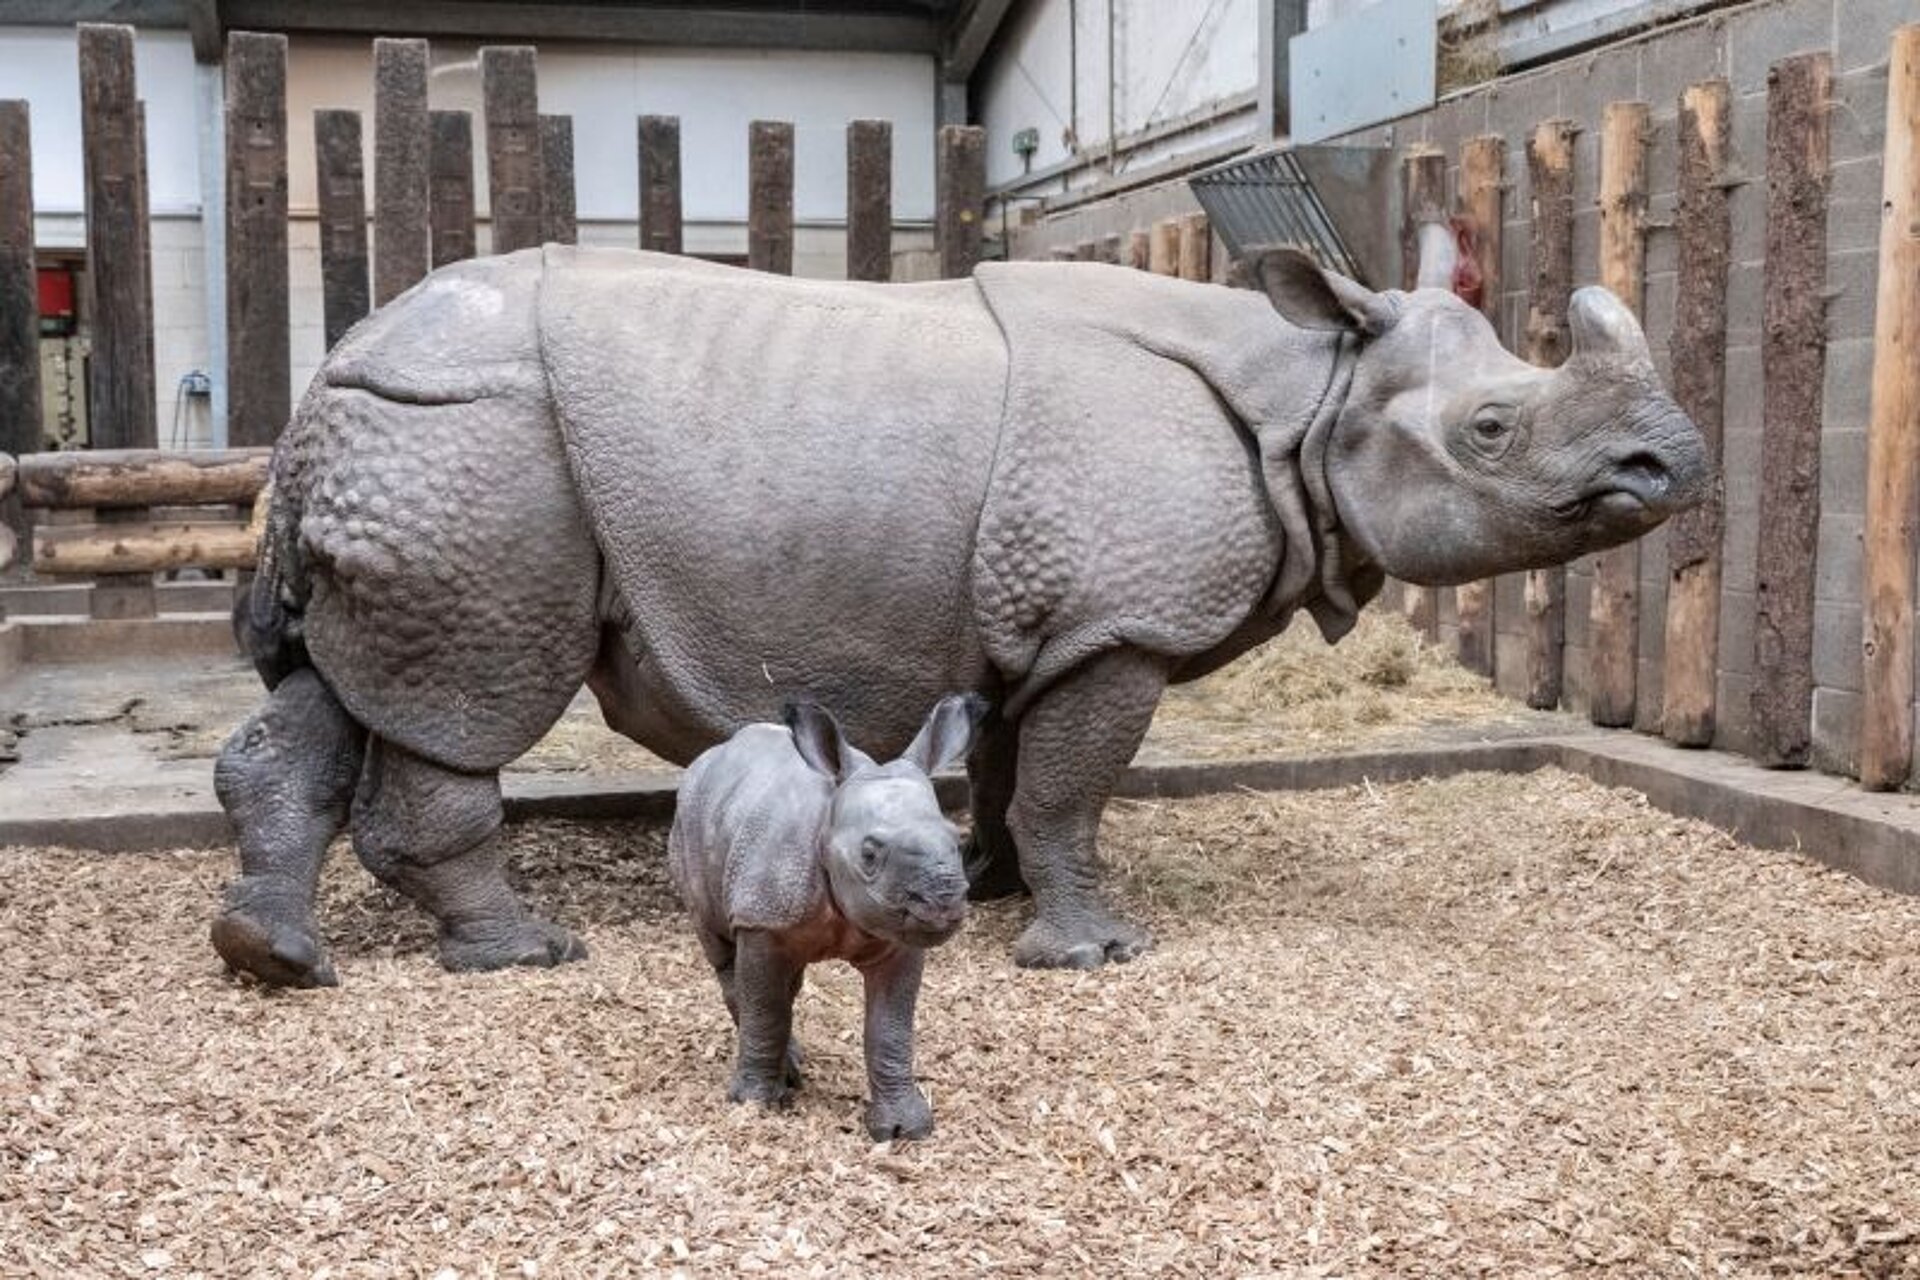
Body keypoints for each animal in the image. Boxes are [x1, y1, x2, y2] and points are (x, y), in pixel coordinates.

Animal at [210, 243, 1707, 988]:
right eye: (1493, 430)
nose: (1671, 467)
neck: (1311, 388)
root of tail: (330, 369)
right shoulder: (1119, 622)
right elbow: (1072, 788)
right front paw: (1093, 953)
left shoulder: (1044, 620)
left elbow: (1009, 762)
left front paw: (986, 884)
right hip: (478, 448)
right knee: (462, 702)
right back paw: (518, 953)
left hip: (417, 450)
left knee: (344, 687)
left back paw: (273, 956)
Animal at [670, 694, 985, 1140]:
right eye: (869, 854)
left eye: (956, 842)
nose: (943, 901)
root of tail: (708, 758)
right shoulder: (762, 917)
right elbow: (764, 1008)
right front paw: (754, 1104)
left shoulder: (900, 937)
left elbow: (890, 1029)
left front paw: (904, 1128)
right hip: (688, 826)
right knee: (726, 957)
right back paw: (783, 1074)